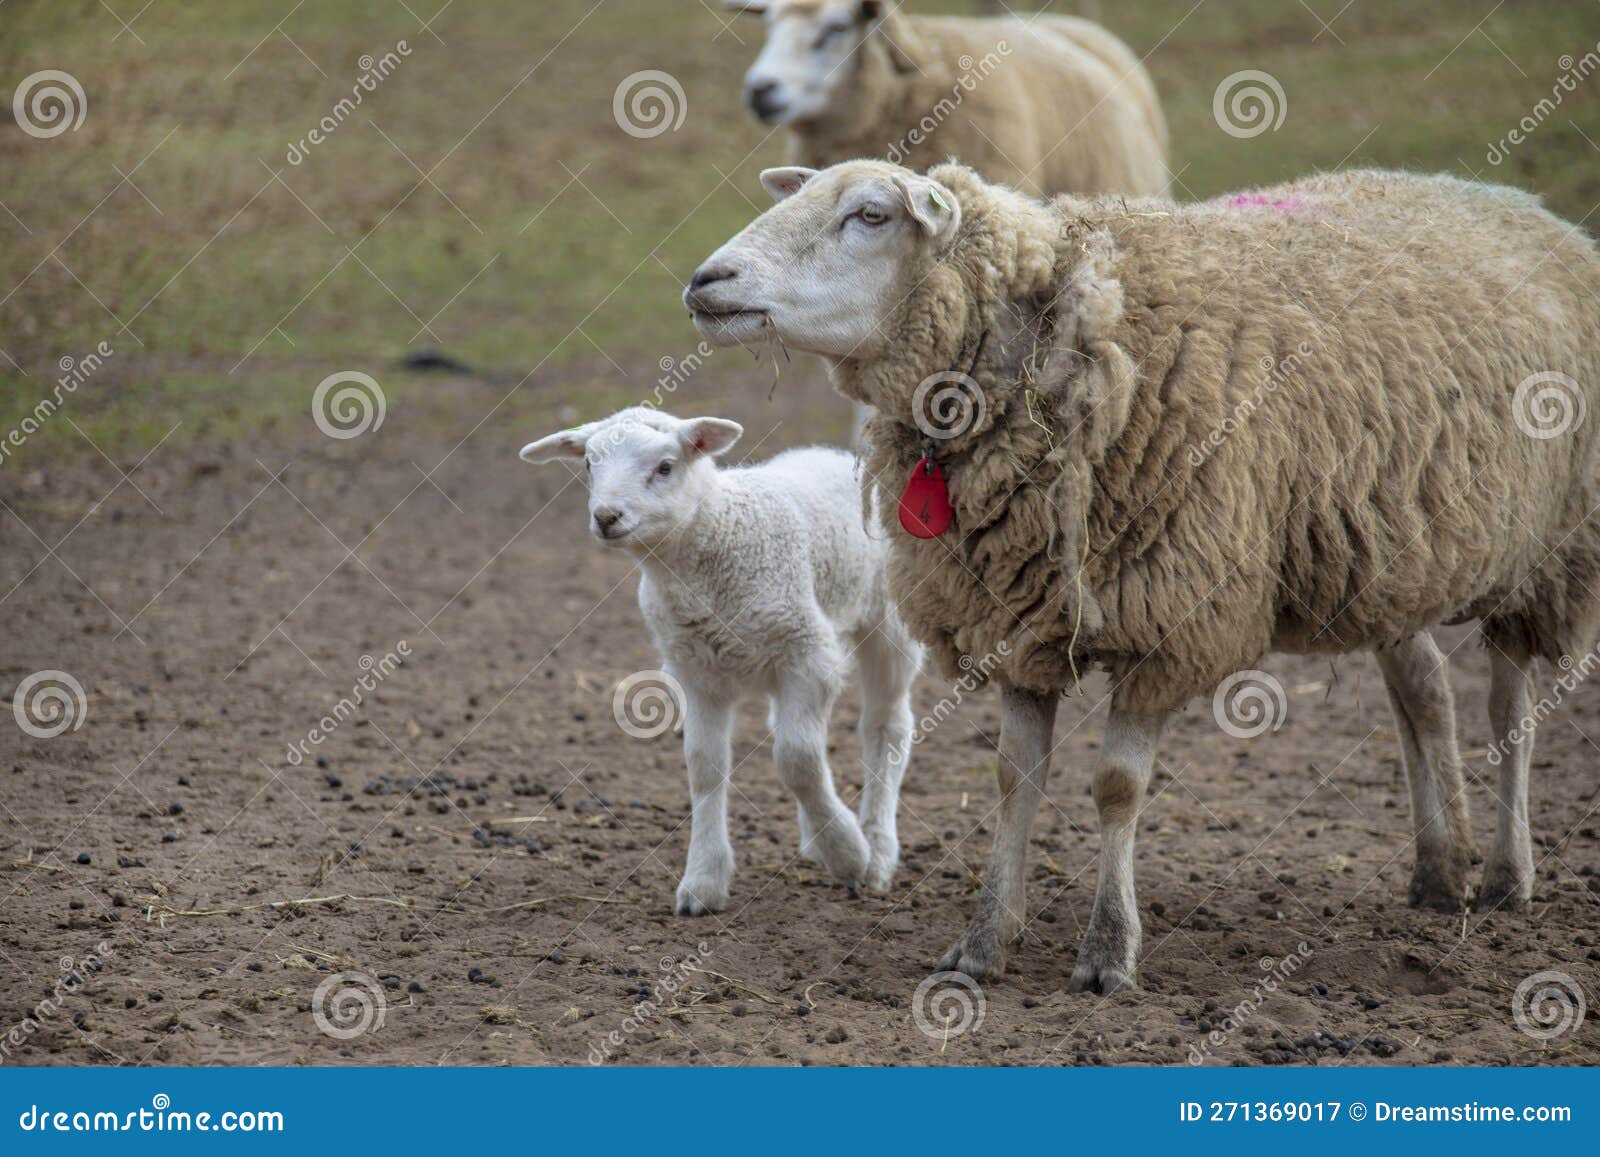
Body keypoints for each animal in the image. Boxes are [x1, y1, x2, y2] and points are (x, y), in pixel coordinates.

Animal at [518, 407, 921, 915]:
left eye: (665, 466)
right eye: (589, 464)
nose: (606, 517)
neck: (717, 533)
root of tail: (836, 455)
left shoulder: (808, 651)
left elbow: (796, 760)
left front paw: (848, 852)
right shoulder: (696, 670)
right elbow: (705, 766)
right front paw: (704, 881)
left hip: (890, 620)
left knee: (887, 725)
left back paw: (877, 848)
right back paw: (819, 836)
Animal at [682, 160, 1600, 992]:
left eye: (870, 214)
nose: (704, 279)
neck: (1058, 342)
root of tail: (1533, 209)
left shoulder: (1170, 619)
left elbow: (1117, 787)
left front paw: (1108, 951)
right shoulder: (1022, 618)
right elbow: (1015, 777)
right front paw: (984, 940)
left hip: (1544, 552)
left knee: (1509, 707)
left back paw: (1507, 874)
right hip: (1376, 548)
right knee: (1425, 689)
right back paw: (1439, 870)